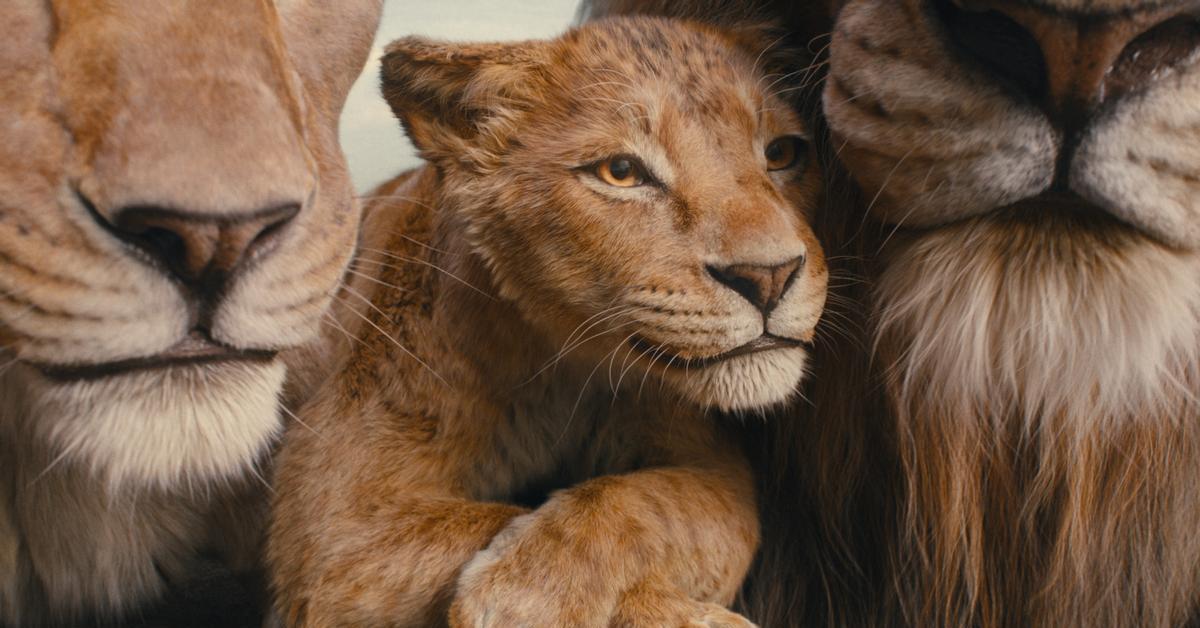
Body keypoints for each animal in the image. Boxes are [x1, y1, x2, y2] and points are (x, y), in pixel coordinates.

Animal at [266, 16, 828, 628]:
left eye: (782, 153)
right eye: (621, 172)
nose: (769, 277)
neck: (561, 369)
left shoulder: (710, 464)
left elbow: (660, 505)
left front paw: (532, 584)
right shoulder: (335, 525)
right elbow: (486, 517)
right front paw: (528, 596)